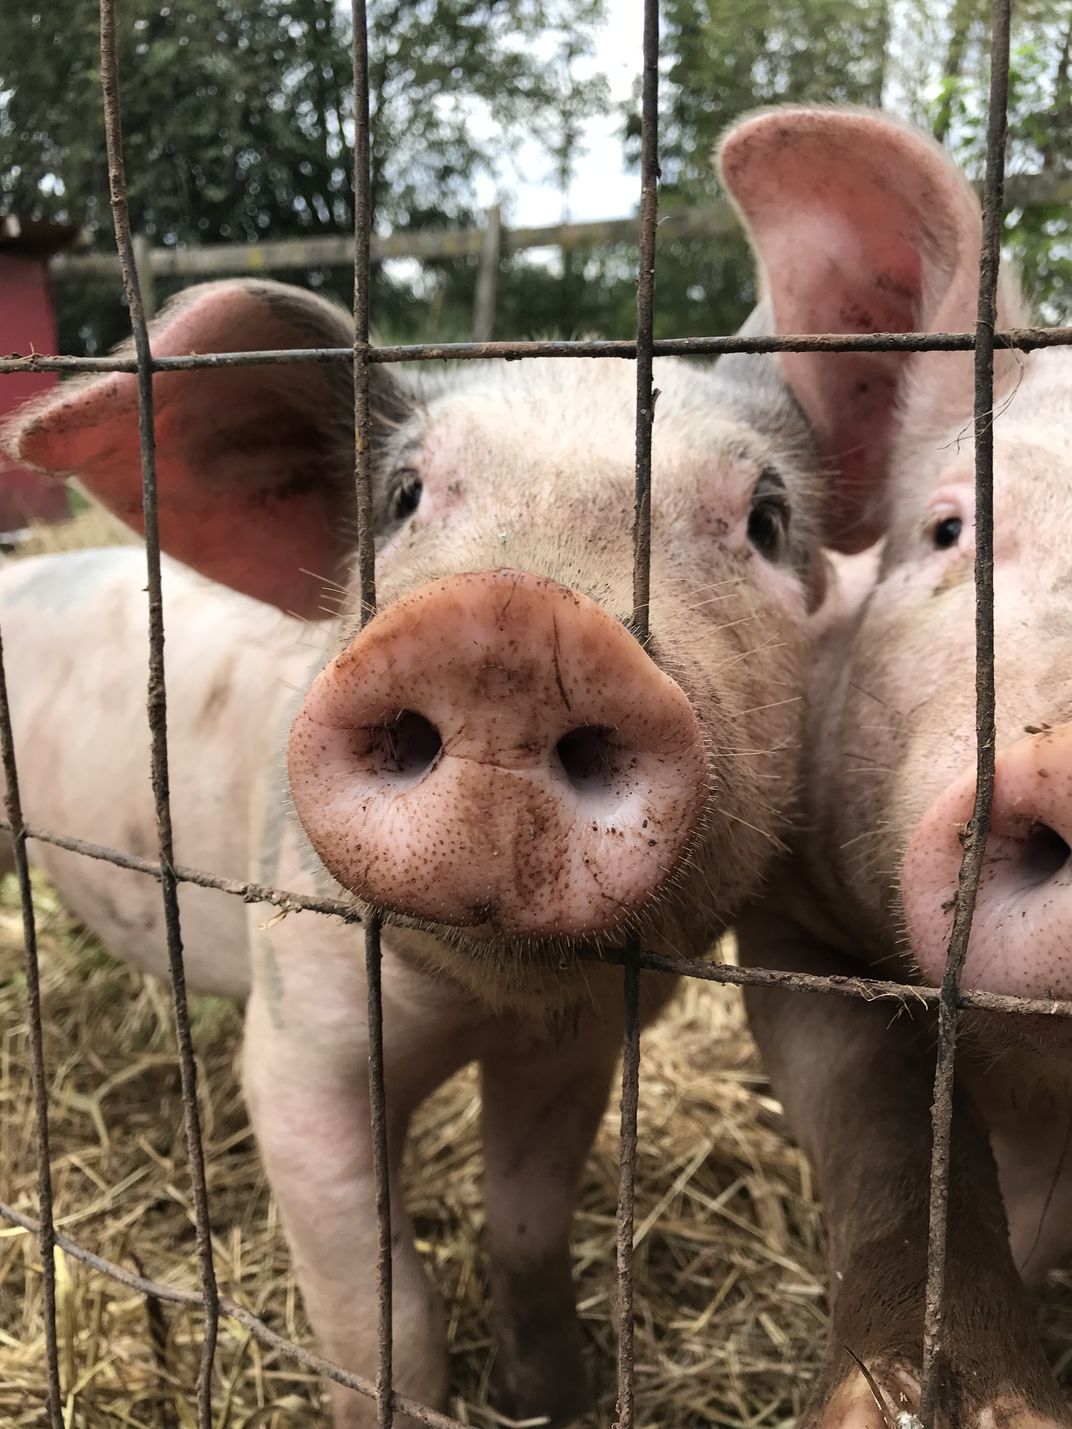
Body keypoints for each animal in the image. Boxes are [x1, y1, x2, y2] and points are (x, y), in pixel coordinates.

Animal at [2, 268, 883, 1426]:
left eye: (768, 520)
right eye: (403, 496)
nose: (510, 624)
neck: (479, 1005)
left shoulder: (576, 1048)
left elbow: (525, 1222)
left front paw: (553, 1393)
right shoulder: (299, 1041)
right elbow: (382, 1313)